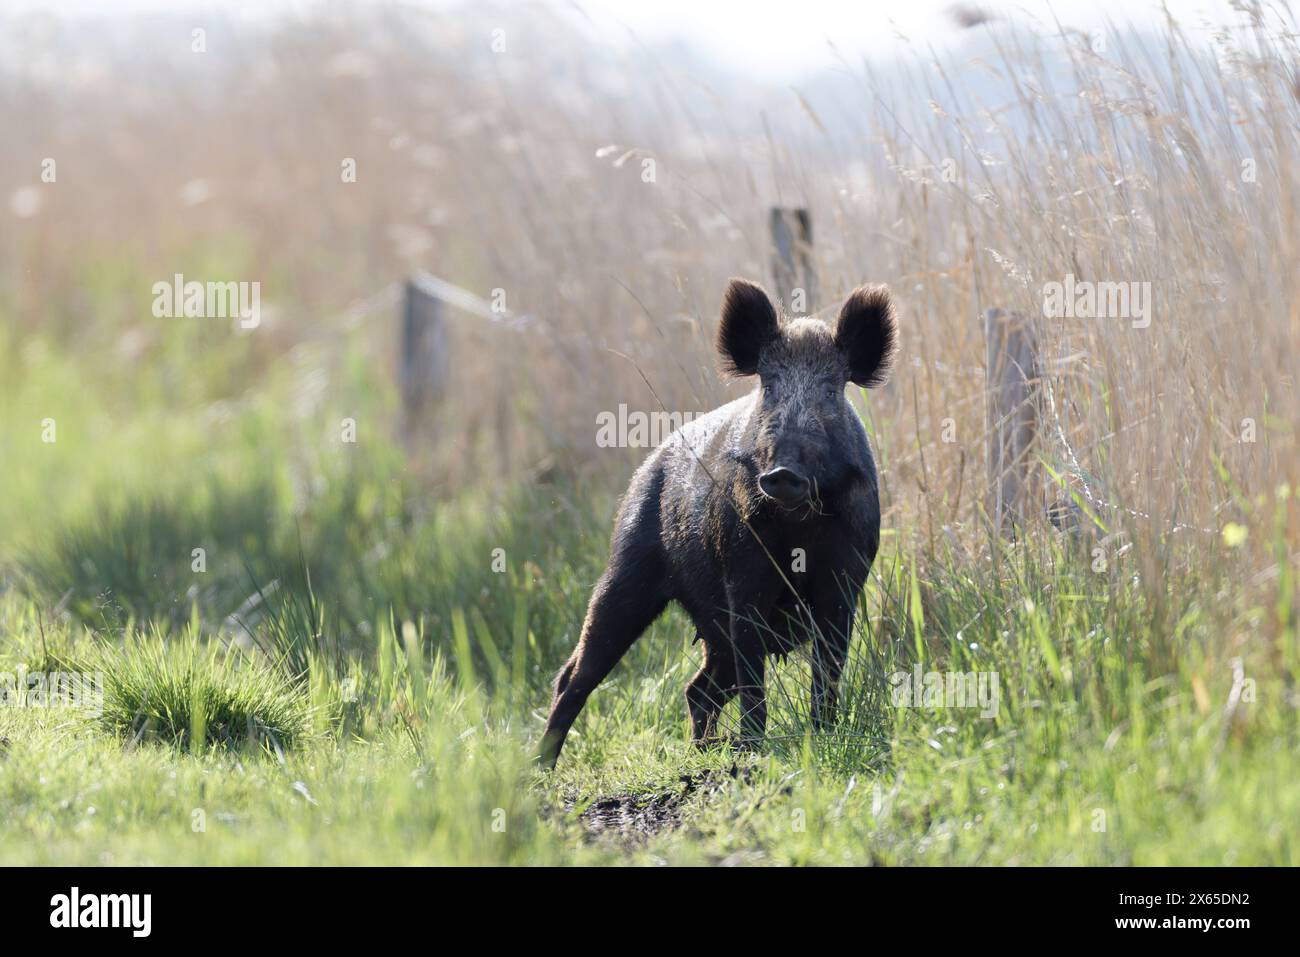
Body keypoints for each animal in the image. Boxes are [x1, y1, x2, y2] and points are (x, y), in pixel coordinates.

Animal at [538, 278, 897, 767]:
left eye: (830, 391)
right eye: (769, 386)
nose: (782, 473)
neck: (798, 531)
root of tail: (649, 463)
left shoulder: (844, 584)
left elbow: (827, 671)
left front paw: (822, 736)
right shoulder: (742, 579)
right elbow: (754, 681)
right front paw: (751, 750)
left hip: (707, 626)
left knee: (698, 688)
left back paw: (702, 751)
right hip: (626, 571)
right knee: (575, 674)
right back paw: (539, 770)